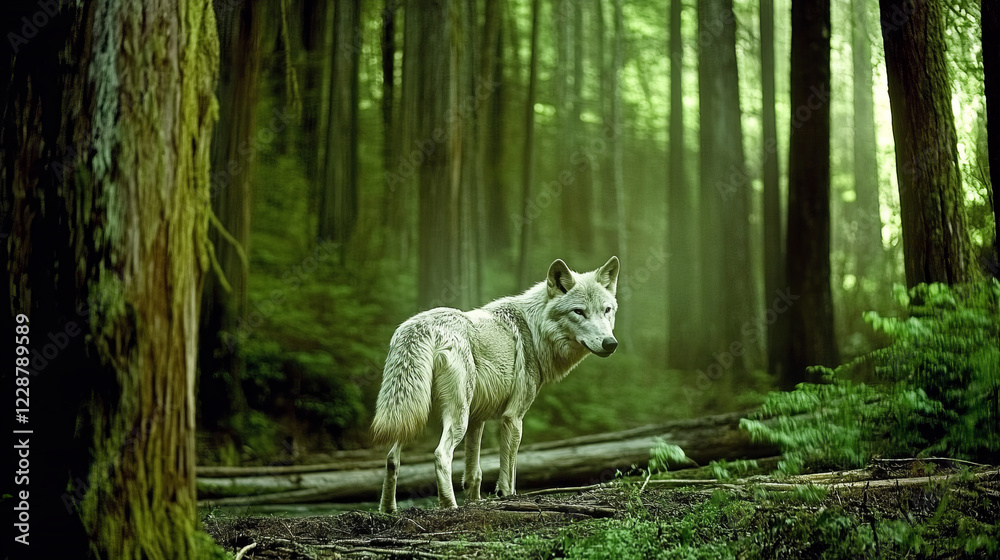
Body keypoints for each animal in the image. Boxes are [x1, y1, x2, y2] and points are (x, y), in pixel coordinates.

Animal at [371, 256, 620, 513]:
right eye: (579, 311)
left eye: (606, 310)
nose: (610, 343)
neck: (534, 330)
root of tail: (417, 328)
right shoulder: (513, 418)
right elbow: (509, 475)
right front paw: (507, 499)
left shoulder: (477, 420)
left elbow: (473, 474)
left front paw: (475, 503)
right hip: (454, 417)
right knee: (441, 455)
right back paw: (449, 506)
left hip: (413, 415)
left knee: (391, 458)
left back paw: (389, 510)